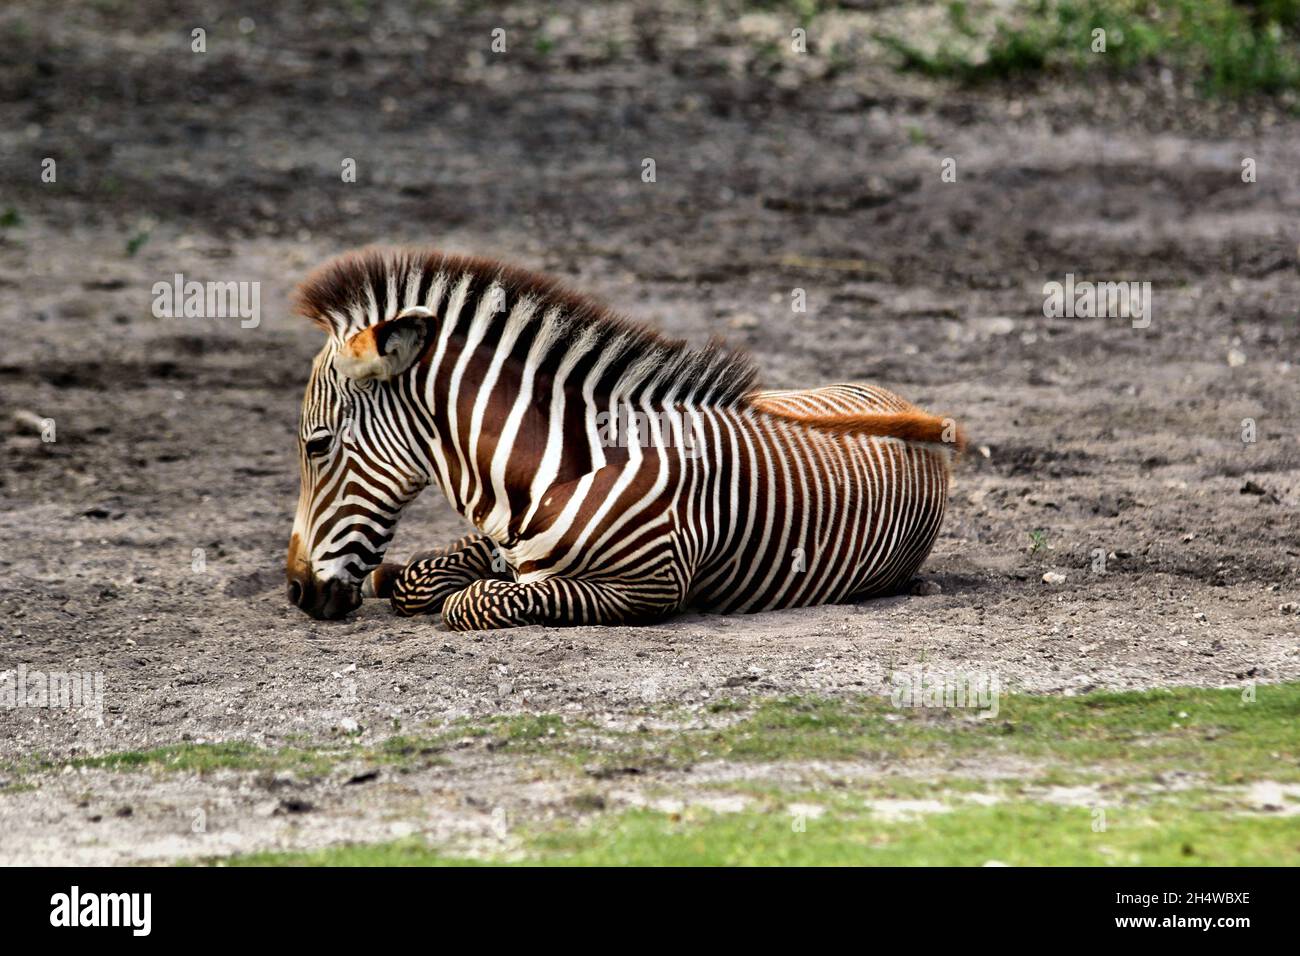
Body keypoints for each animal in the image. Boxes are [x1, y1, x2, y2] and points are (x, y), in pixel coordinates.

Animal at [286, 247, 965, 628]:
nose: (295, 591)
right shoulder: (505, 544)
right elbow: (424, 579)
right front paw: (402, 576)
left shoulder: (649, 586)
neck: (557, 467)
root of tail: (905, 404)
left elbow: (474, 602)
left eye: (317, 445)